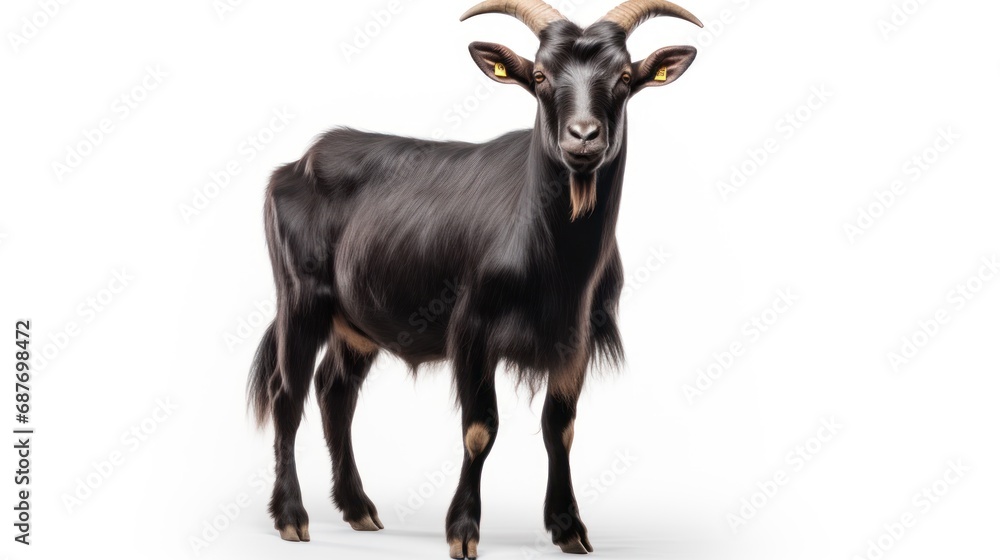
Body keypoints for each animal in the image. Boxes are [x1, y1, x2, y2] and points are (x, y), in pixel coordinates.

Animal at [247, 1, 702, 557]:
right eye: (540, 75)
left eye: (622, 77)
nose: (583, 136)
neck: (557, 261)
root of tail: (295, 165)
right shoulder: (472, 332)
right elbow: (480, 428)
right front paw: (463, 531)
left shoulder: (575, 341)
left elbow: (561, 427)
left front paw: (569, 527)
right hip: (300, 299)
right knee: (286, 394)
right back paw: (291, 517)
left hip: (356, 324)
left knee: (335, 392)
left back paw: (359, 510)